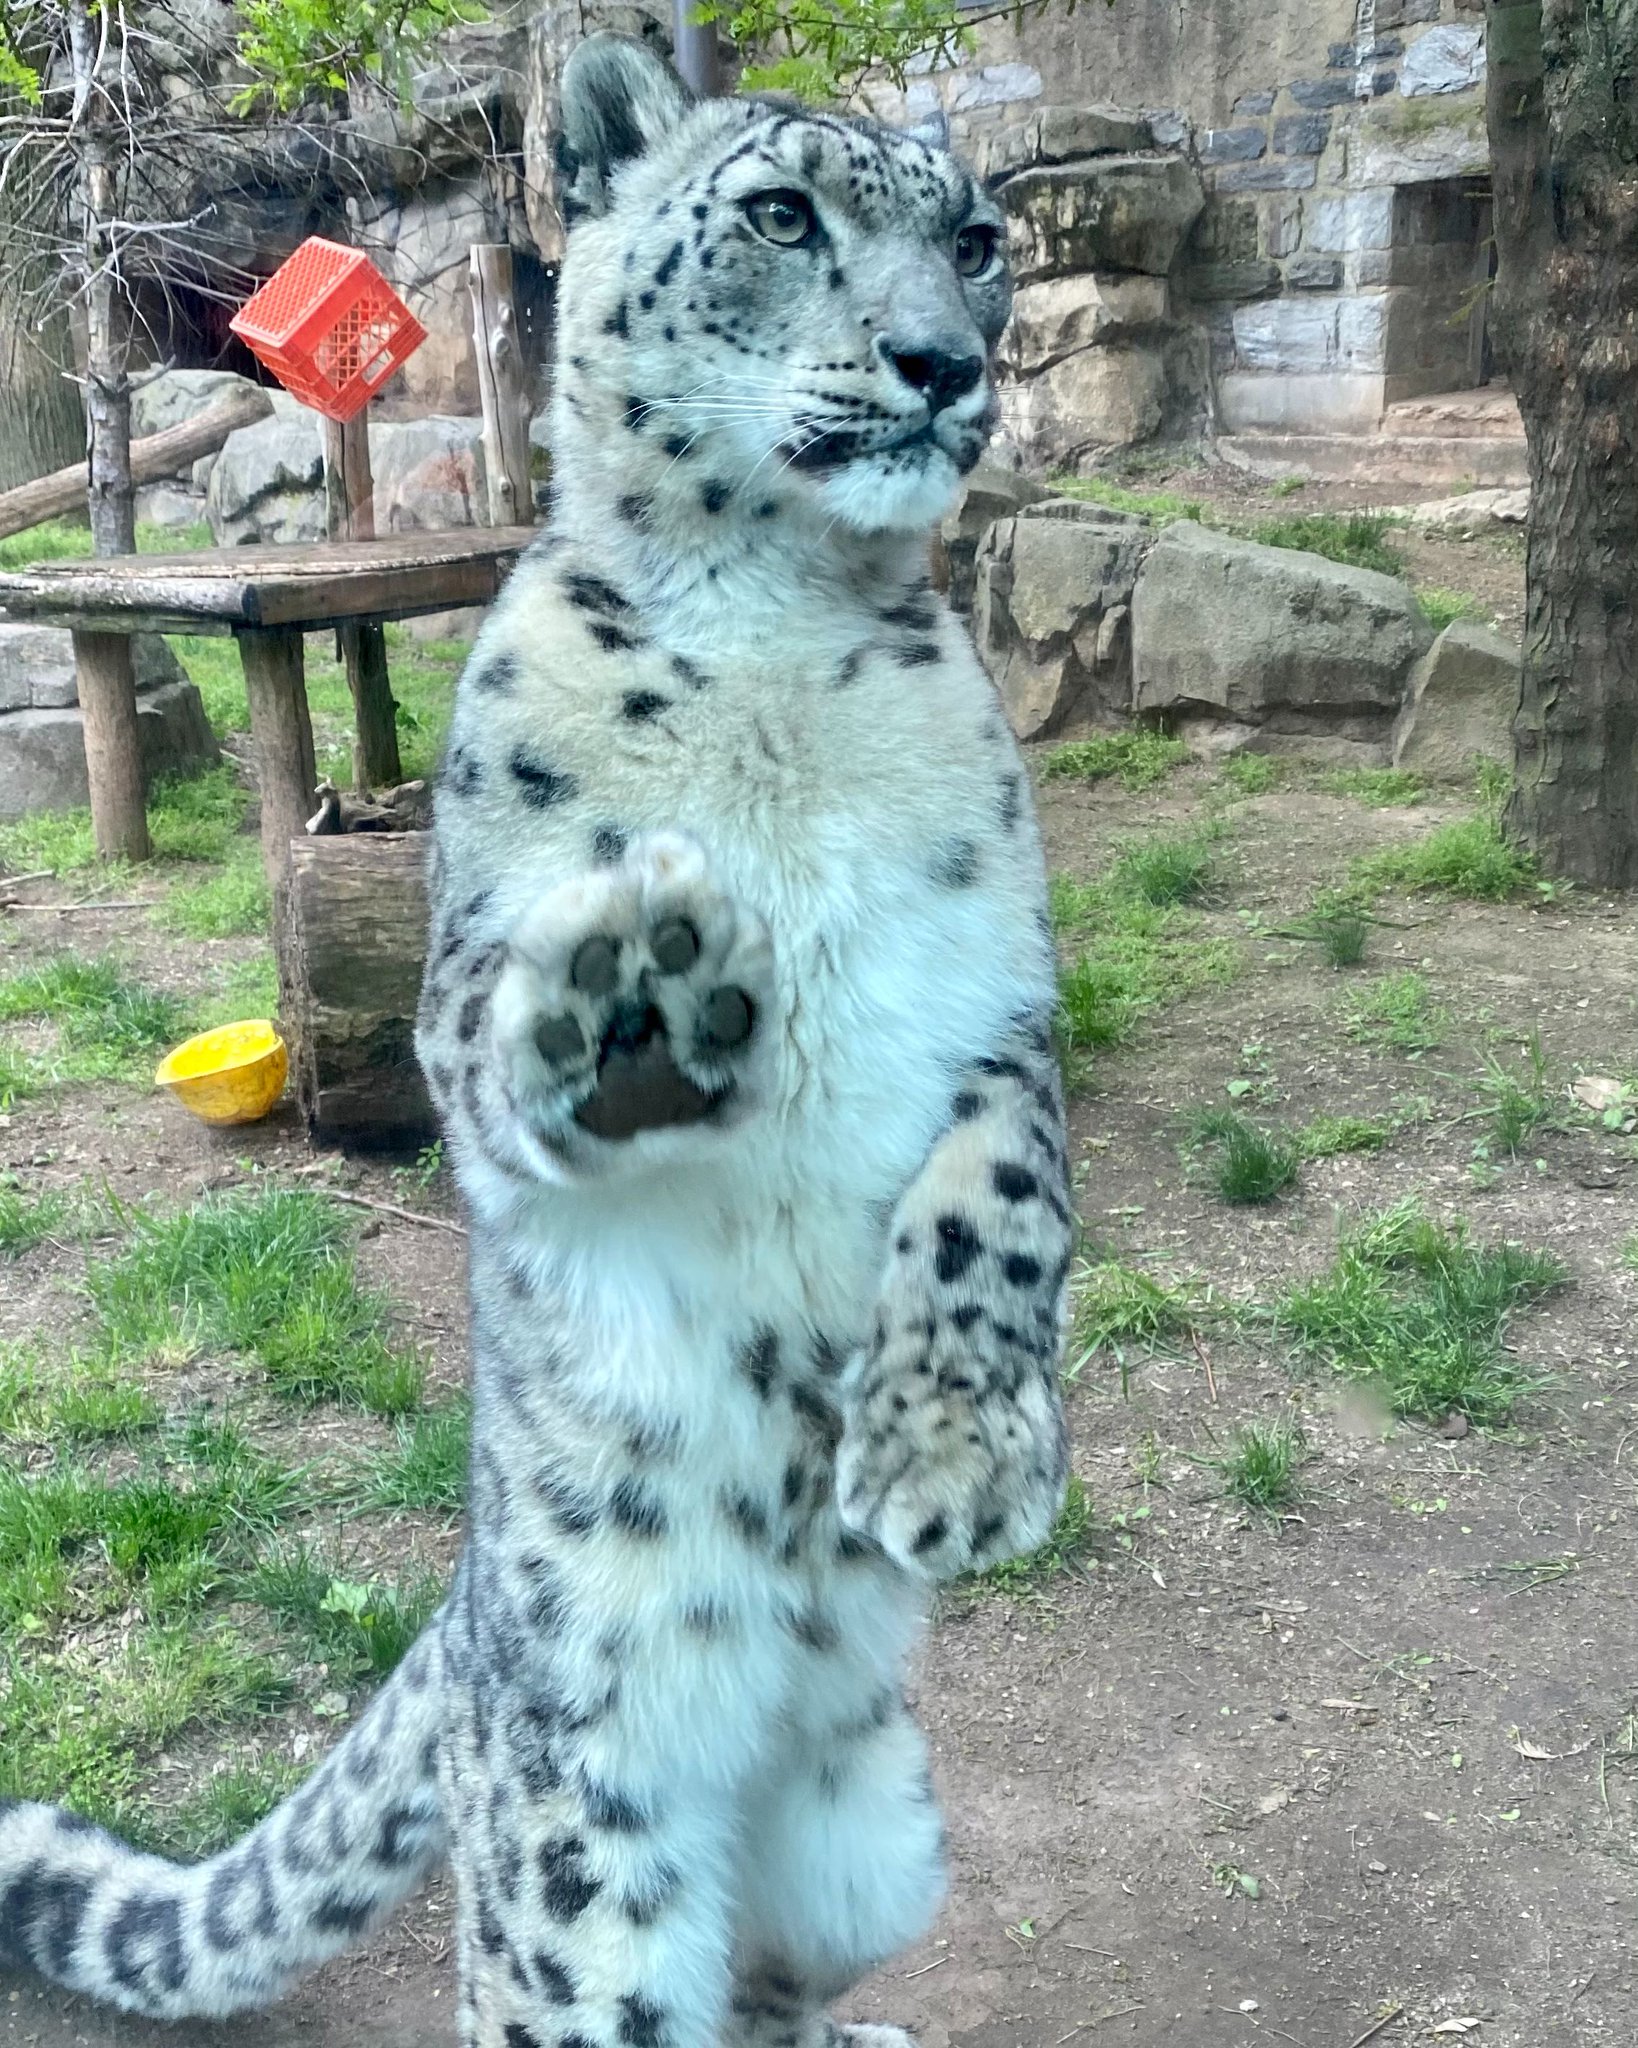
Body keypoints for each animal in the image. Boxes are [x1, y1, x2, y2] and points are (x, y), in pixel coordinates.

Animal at [0, 34, 1073, 2048]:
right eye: (781, 215)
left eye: (975, 241)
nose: (939, 361)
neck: (776, 643)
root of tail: (465, 1612)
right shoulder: (468, 979)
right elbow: (495, 1053)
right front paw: (645, 991)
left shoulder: (997, 999)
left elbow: (995, 1204)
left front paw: (952, 1456)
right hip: (583, 1871)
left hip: (875, 1844)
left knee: (771, 1983)